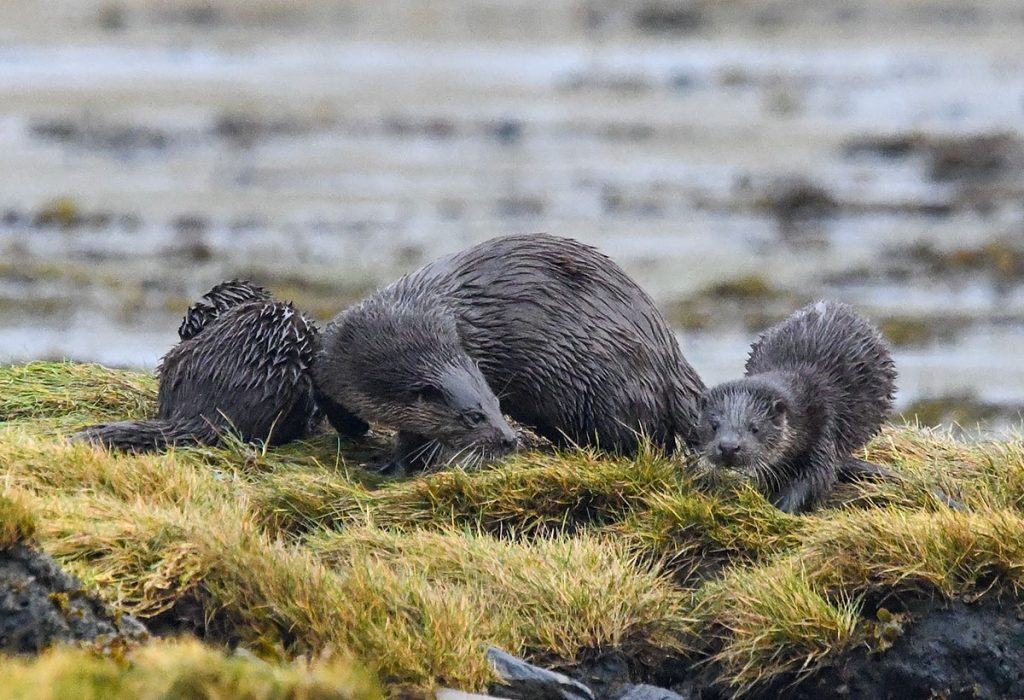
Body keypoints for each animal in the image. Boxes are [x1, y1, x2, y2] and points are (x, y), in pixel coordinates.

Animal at [315, 233, 705, 473]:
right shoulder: (330, 351)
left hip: (614, 391)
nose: (509, 439)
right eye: (475, 415)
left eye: (497, 405)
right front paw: (353, 426)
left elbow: (414, 441)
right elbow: (328, 397)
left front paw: (394, 466)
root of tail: (669, 356)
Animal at [697, 300, 897, 513]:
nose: (728, 447)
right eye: (714, 425)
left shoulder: (824, 426)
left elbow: (815, 477)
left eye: (755, 428)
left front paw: (780, 508)